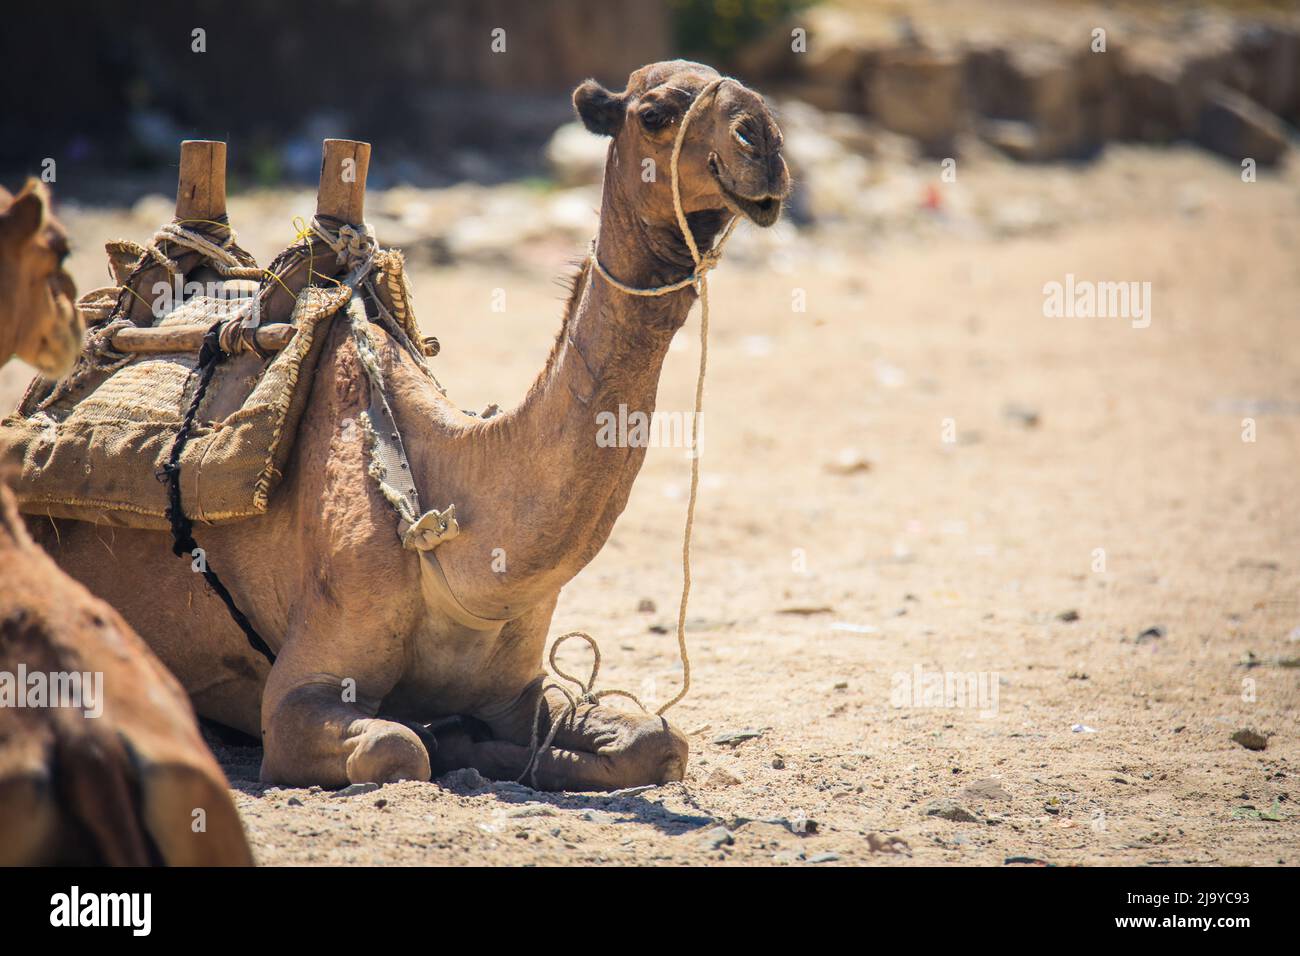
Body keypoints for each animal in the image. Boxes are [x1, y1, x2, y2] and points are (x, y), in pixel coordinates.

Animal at [34, 61, 791, 791]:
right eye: (656, 113)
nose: (765, 141)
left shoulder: (519, 689)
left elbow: (658, 743)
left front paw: (473, 738)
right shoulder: (301, 691)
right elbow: (397, 747)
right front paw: (443, 737)